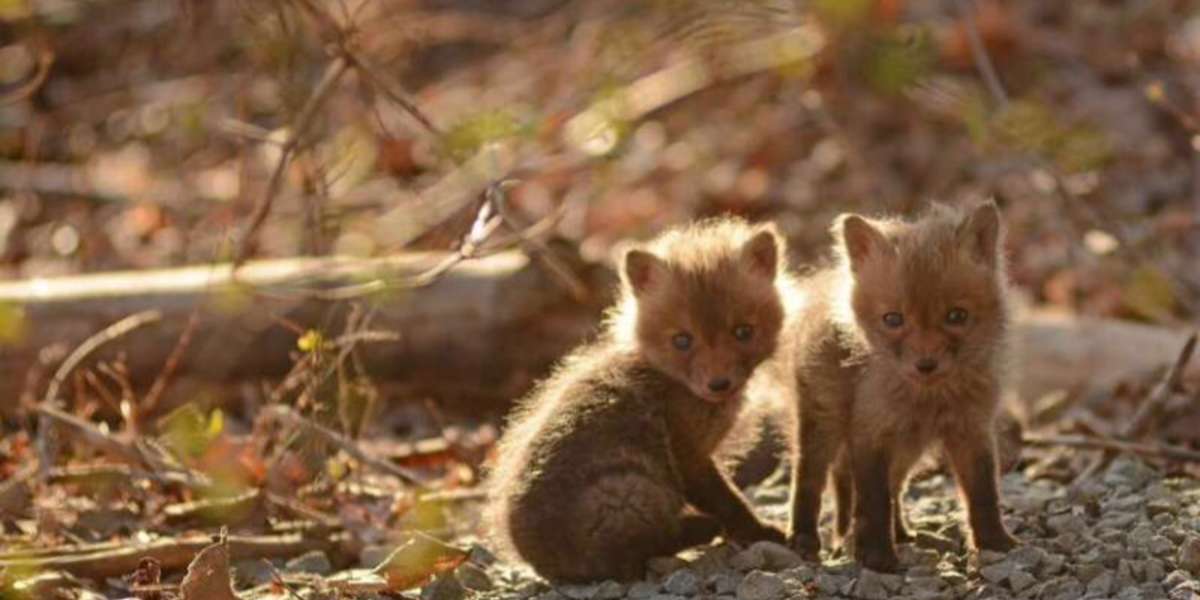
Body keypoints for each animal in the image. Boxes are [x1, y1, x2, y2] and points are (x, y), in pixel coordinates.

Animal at [484, 218, 790, 582]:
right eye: (682, 340)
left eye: (743, 332)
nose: (718, 384)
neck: (667, 378)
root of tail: (538, 561)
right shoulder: (687, 455)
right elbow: (726, 499)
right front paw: (757, 531)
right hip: (633, 490)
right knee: (633, 556)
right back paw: (698, 529)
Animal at [786, 201, 1018, 572]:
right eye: (893, 319)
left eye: (957, 316)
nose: (925, 365)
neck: (928, 399)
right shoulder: (870, 432)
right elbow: (873, 500)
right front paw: (877, 556)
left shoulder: (971, 430)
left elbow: (983, 493)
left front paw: (994, 542)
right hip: (824, 425)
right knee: (810, 479)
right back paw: (805, 539)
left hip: (908, 447)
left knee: (892, 486)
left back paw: (899, 532)